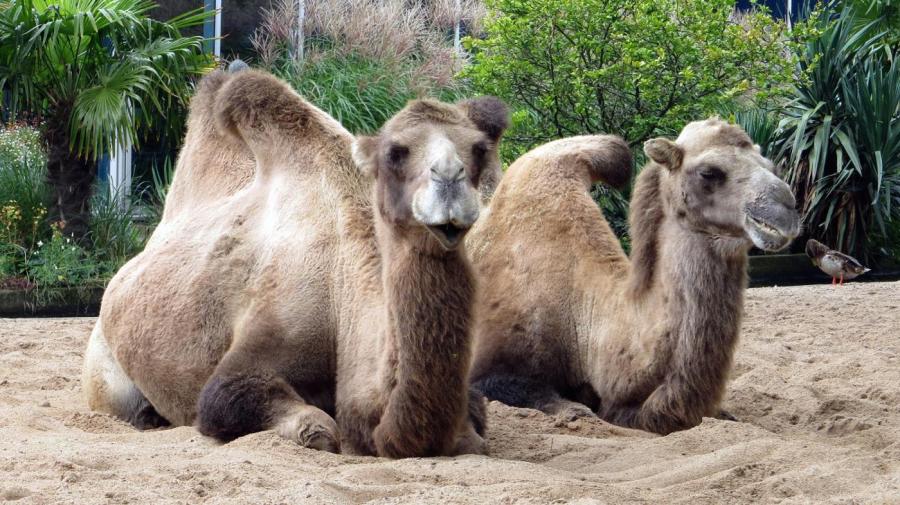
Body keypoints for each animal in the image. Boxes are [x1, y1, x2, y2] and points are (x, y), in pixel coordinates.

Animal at [82, 66, 509, 457]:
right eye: (395, 152)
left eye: (479, 149)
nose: (449, 180)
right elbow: (259, 408)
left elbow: (475, 424)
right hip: (105, 364)